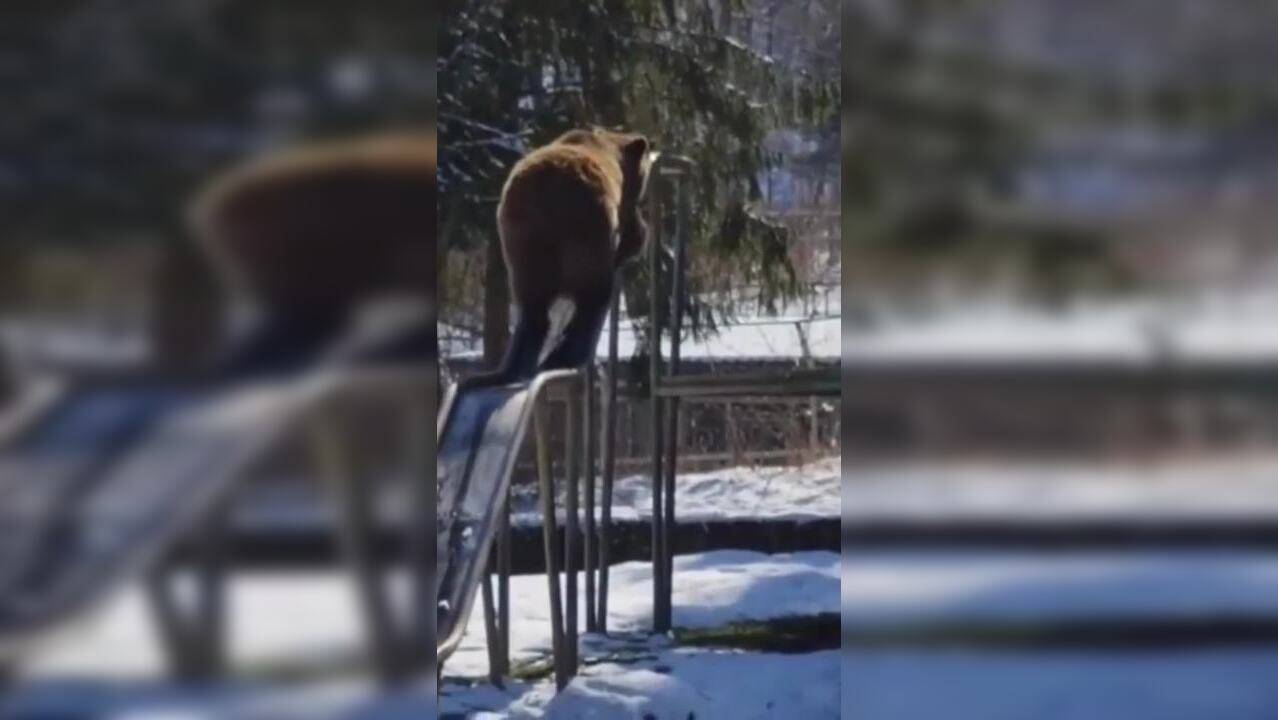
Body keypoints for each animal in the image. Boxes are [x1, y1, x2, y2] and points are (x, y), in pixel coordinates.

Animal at [471, 127, 652, 386]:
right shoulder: (619, 206)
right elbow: (629, 232)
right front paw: (636, 240)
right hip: (585, 230)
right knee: (593, 296)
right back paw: (565, 355)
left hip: (522, 243)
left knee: (531, 306)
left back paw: (515, 365)